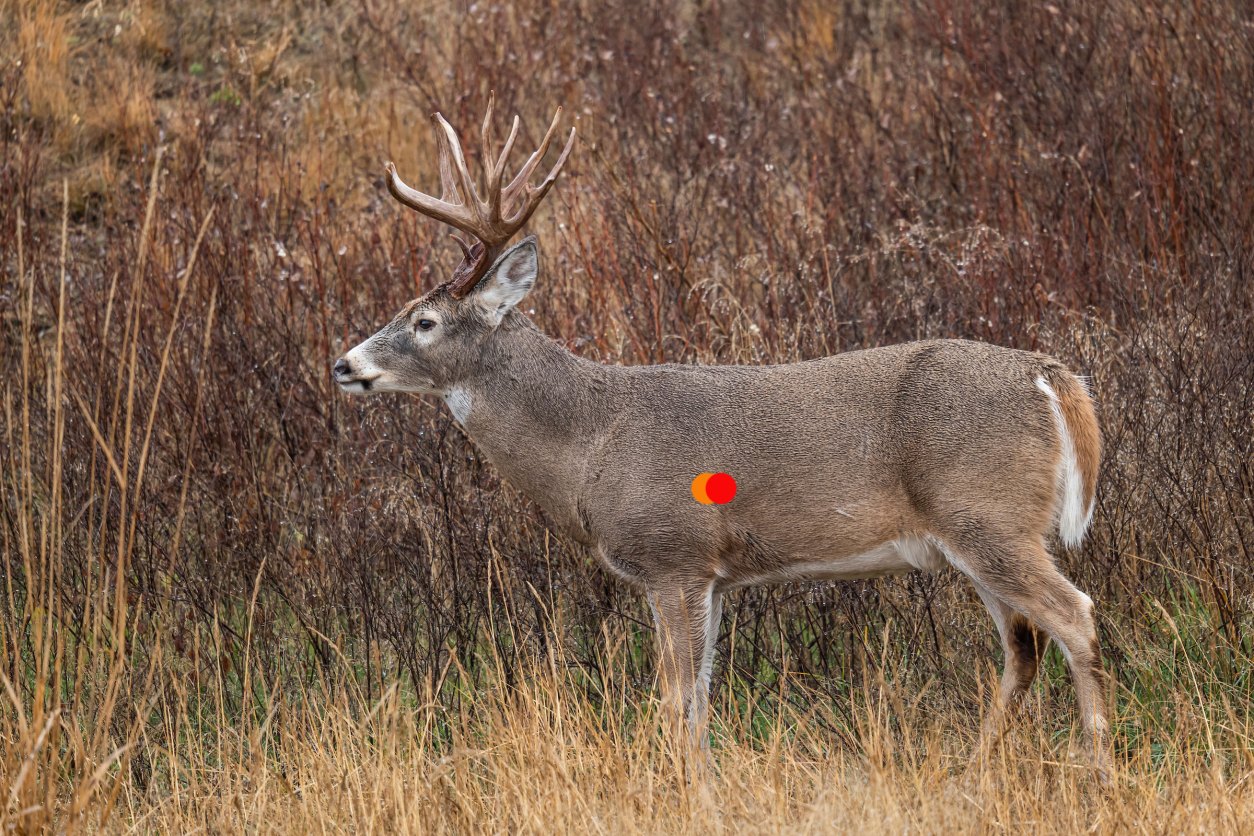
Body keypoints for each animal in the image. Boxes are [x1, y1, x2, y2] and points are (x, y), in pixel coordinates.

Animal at [332, 100, 1111, 778]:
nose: (344, 364)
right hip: (974, 534)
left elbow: (678, 697)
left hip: (988, 515)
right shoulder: (712, 573)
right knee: (1024, 646)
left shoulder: (673, 554)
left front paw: (686, 789)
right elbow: (701, 697)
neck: (590, 439)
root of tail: (1052, 378)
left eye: (426, 321)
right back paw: (974, 772)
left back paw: (1099, 771)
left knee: (1076, 616)